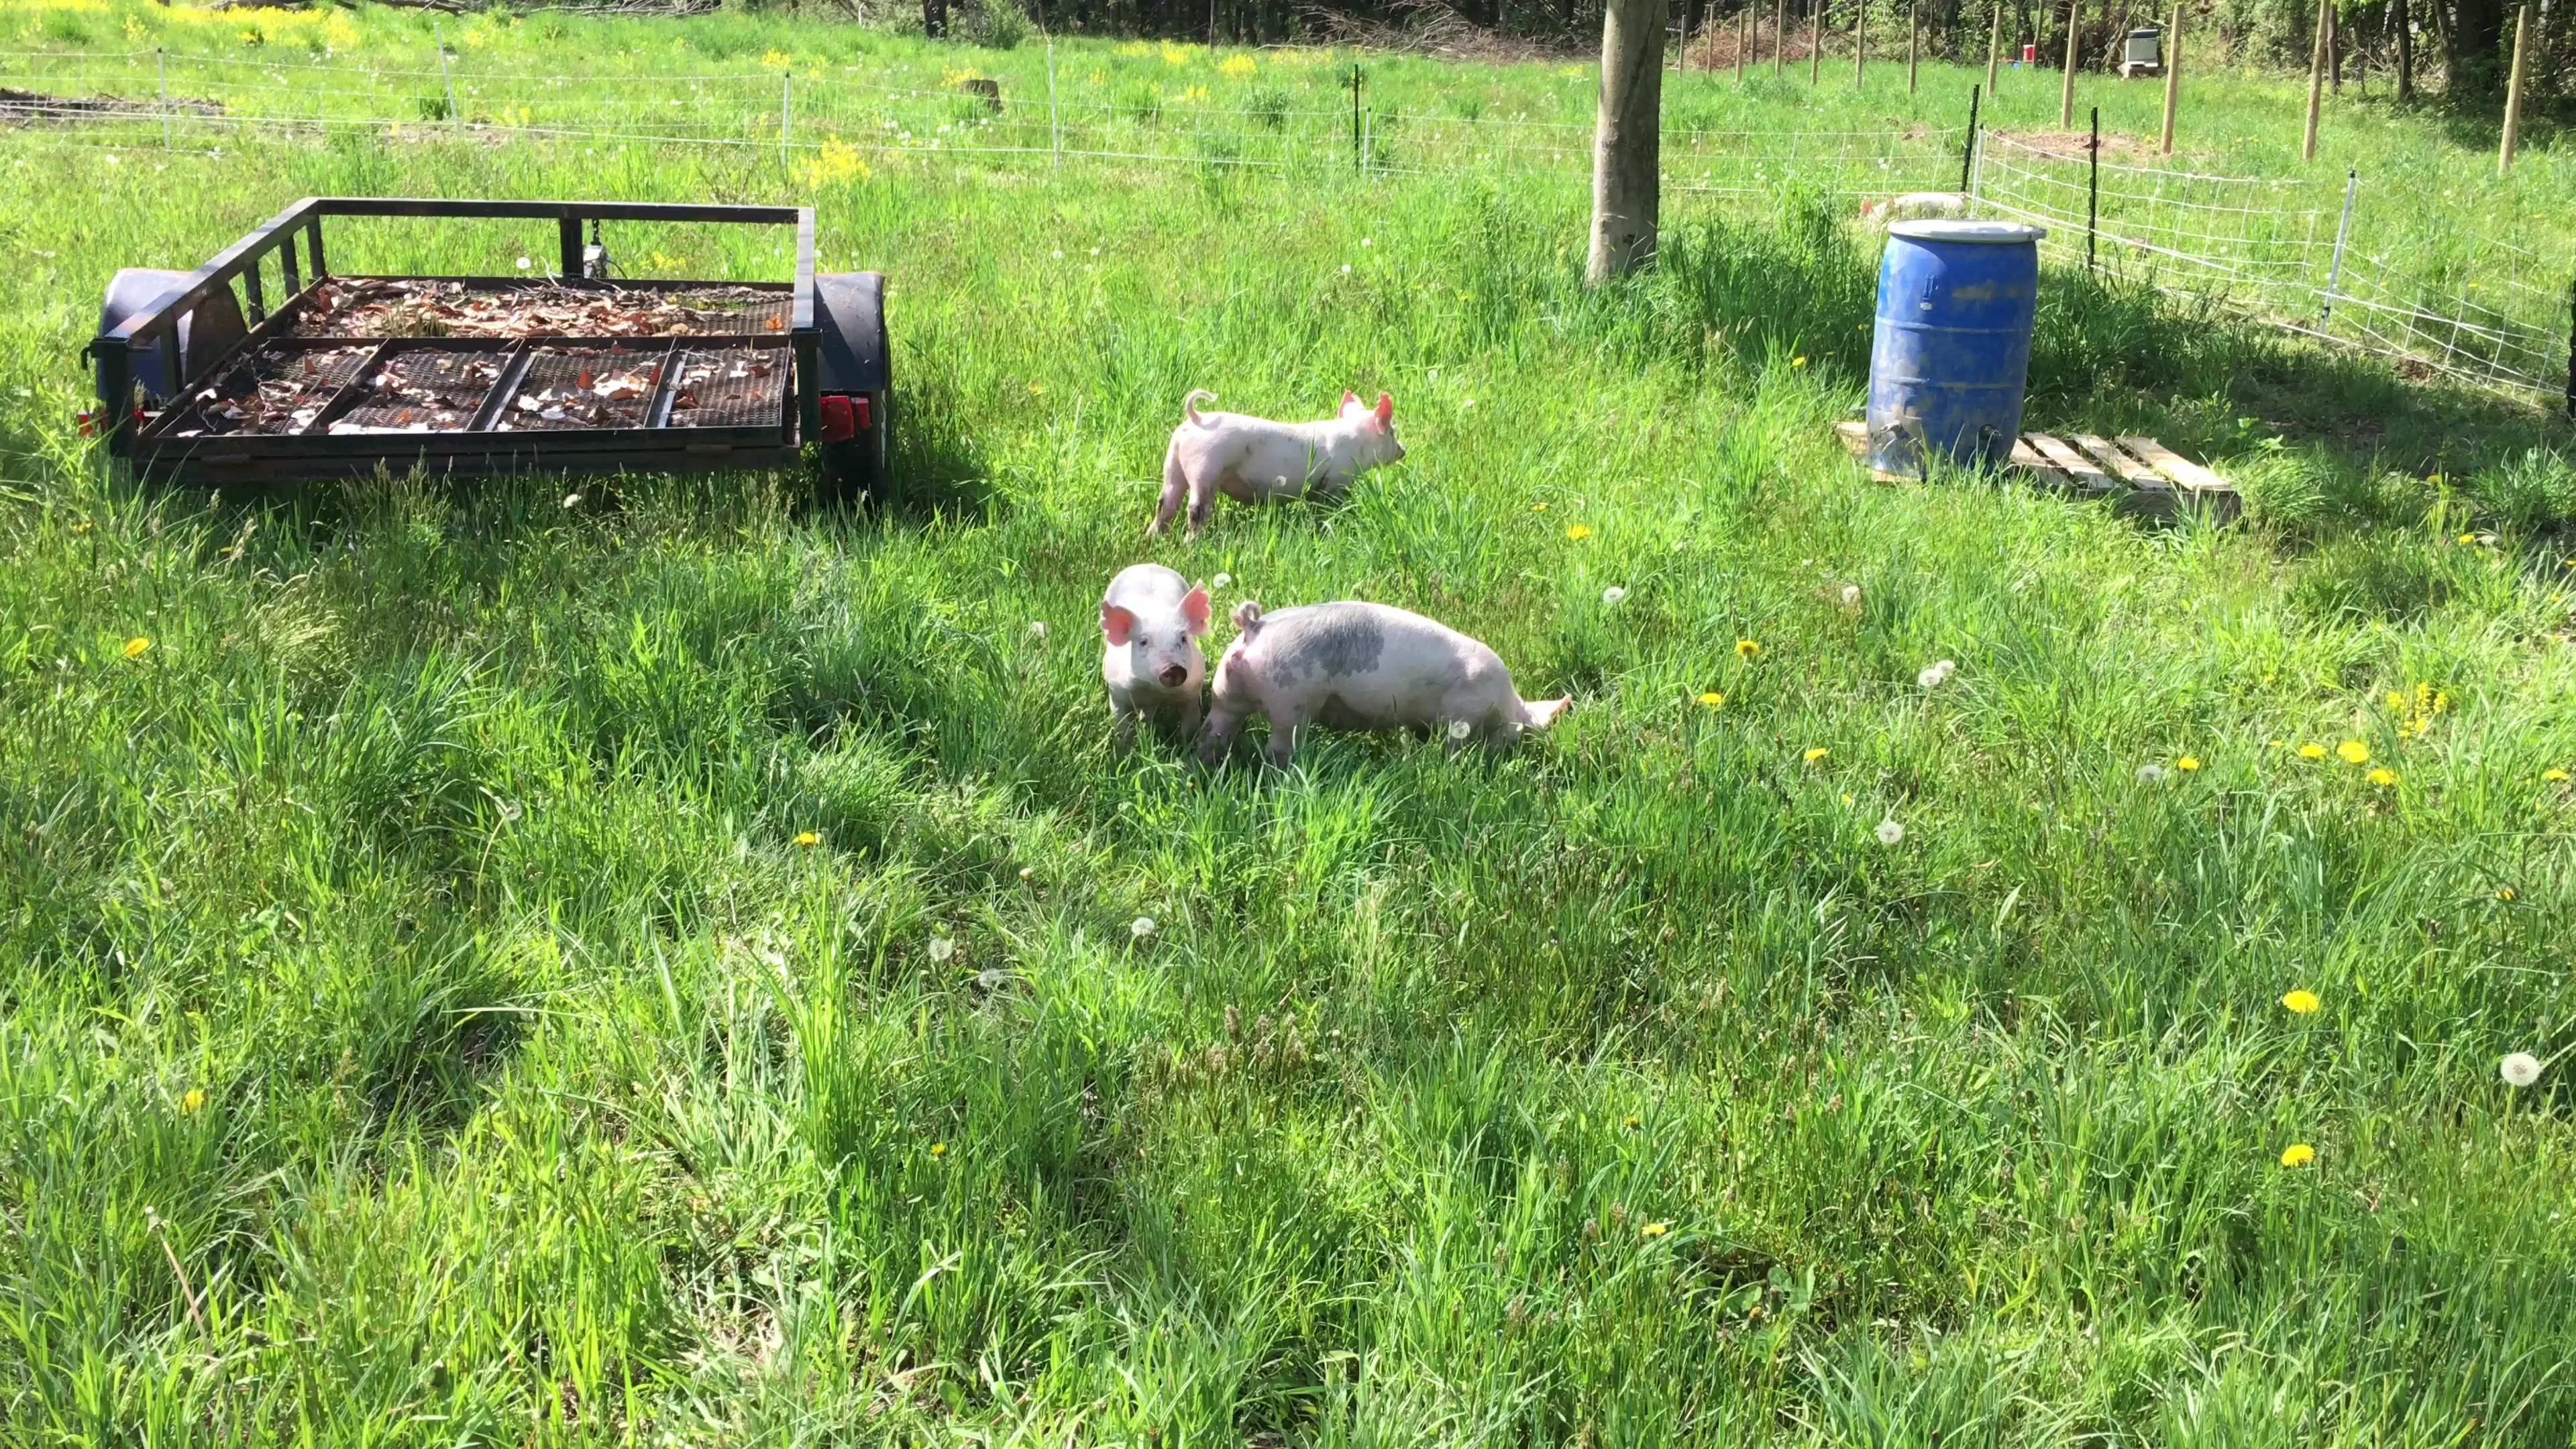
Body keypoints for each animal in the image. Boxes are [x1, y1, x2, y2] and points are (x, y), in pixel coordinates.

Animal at [1100, 563, 1213, 749]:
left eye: (1183, 638)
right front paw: (1125, 751)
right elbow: (1122, 728)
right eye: (1143, 642)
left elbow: (1190, 727)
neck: (1155, 691)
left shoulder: (1192, 693)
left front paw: (1186, 750)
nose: (1173, 667)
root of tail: (1147, 565)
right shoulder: (1116, 692)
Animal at [1149, 389, 1406, 540]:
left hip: (1173, 462)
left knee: (1165, 503)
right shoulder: (1336, 482)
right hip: (1206, 467)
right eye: (1392, 432)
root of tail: (1198, 419)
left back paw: (1154, 538)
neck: (1357, 442)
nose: (1403, 450)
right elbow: (1331, 507)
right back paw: (1193, 544)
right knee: (1196, 510)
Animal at [1197, 600, 1570, 768]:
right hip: (1290, 702)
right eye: (1523, 737)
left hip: (1225, 692)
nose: (1505, 758)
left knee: (1214, 730)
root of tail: (1254, 628)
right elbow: (1454, 744)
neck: (1505, 704)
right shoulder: (1461, 713)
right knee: (1279, 746)